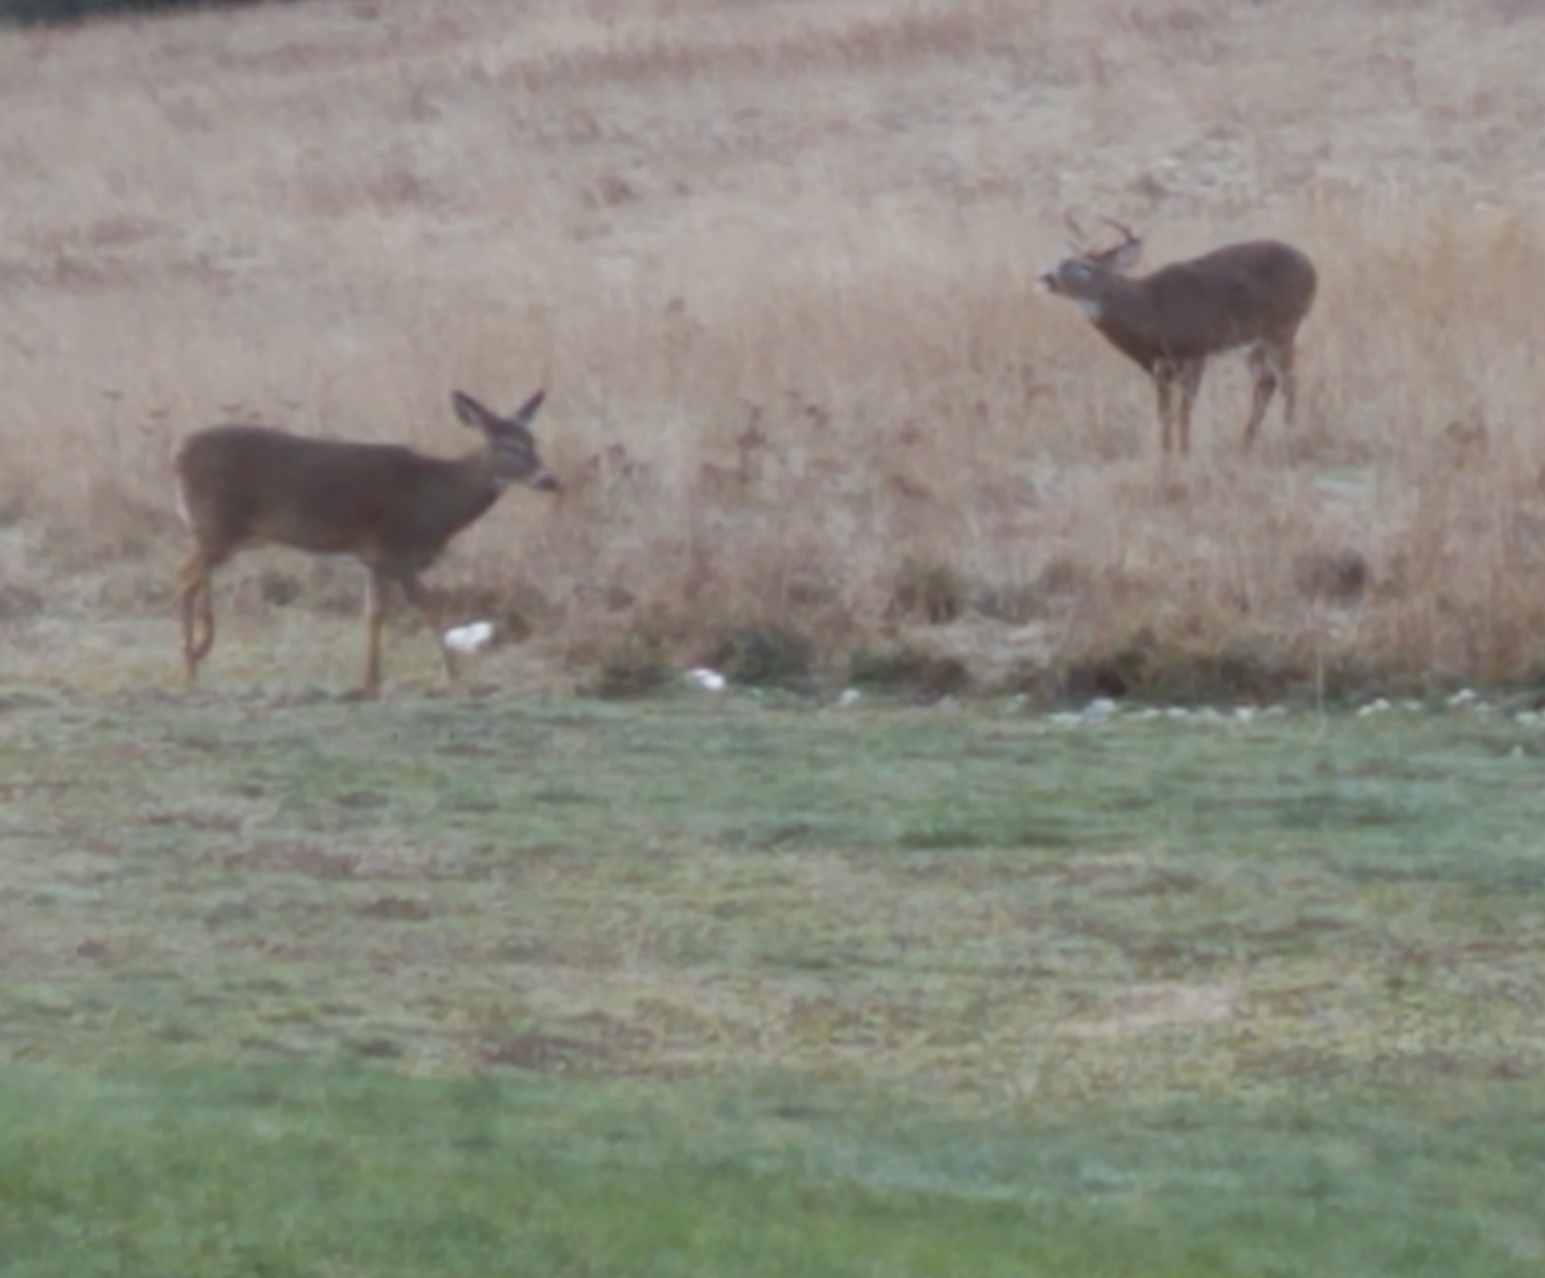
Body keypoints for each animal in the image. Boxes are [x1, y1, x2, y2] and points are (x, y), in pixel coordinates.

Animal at [174, 388, 559, 700]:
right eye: (508, 446)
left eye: (534, 442)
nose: (549, 480)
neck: (436, 498)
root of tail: (178, 455)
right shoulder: (397, 548)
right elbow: (432, 610)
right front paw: (457, 683)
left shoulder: (374, 558)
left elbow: (374, 615)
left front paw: (368, 684)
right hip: (218, 524)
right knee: (185, 576)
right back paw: (190, 667)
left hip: (220, 532)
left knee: (193, 575)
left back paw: (195, 655)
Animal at [1039, 216, 1317, 456]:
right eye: (1061, 261)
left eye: (1085, 267)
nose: (1045, 277)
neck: (1149, 312)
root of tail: (1311, 268)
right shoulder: (1158, 365)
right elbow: (1164, 412)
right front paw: (1167, 453)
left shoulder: (1197, 349)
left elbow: (1184, 408)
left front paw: (1184, 453)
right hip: (1254, 343)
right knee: (1266, 381)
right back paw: (1245, 444)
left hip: (1283, 328)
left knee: (1288, 381)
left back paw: (1289, 437)